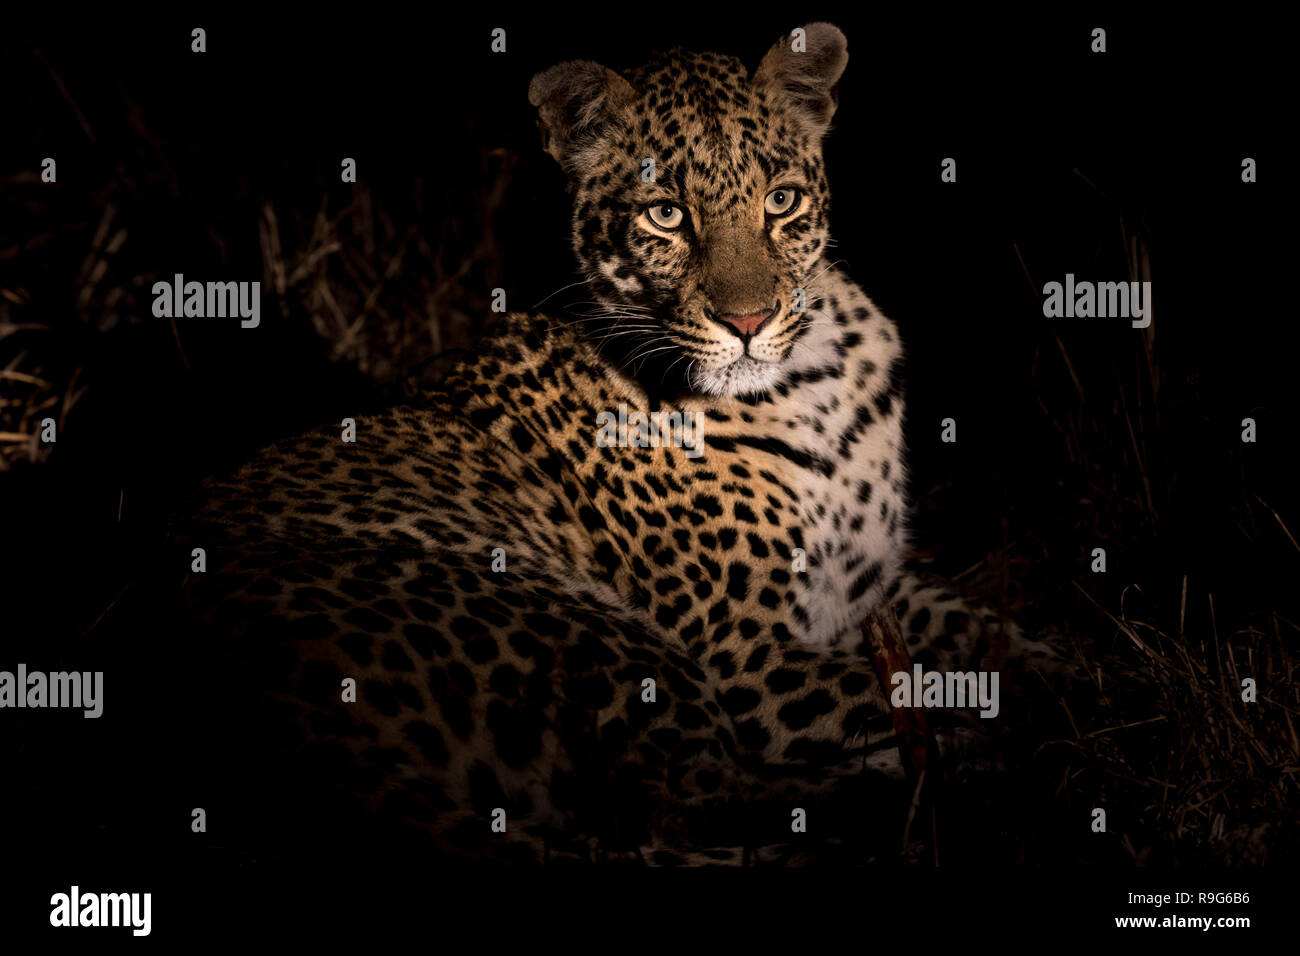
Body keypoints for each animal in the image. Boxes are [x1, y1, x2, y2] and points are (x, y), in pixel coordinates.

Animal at [177, 22, 1070, 866]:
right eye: (665, 214)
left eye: (781, 201)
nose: (748, 322)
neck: (818, 374)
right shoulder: (750, 659)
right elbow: (956, 686)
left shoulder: (875, 585)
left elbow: (994, 640)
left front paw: (1068, 665)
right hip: (574, 622)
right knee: (678, 803)